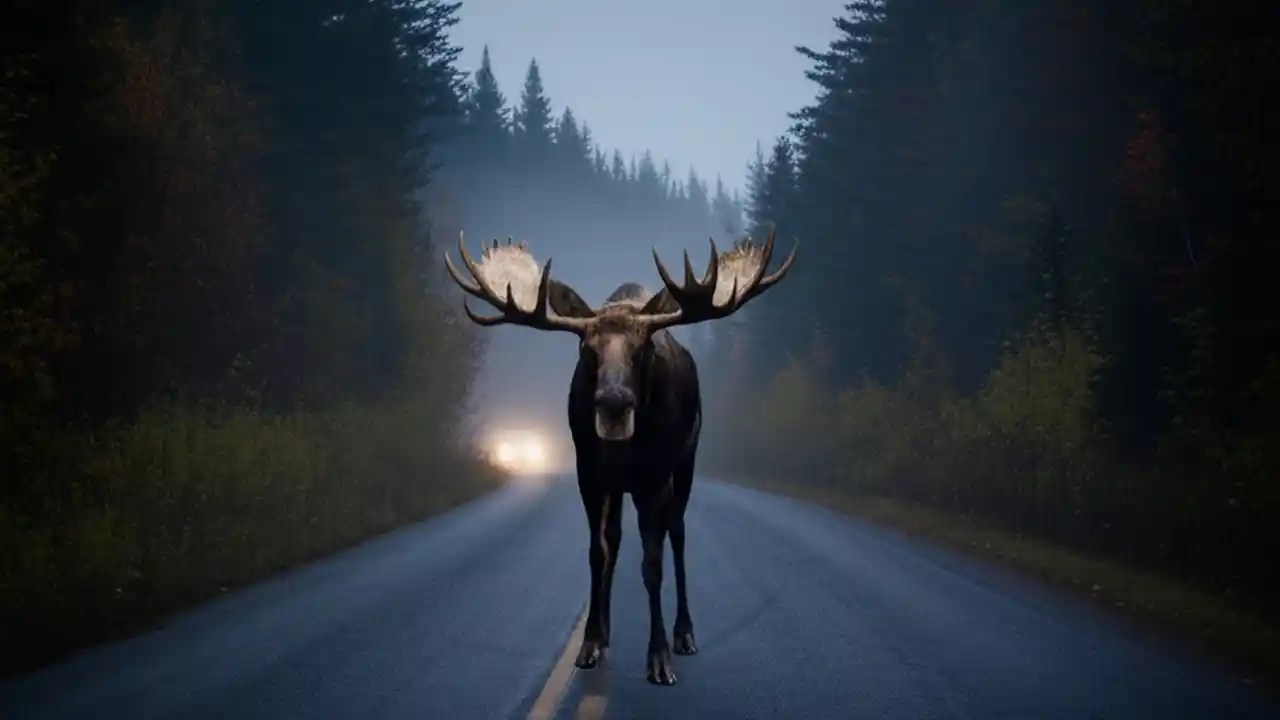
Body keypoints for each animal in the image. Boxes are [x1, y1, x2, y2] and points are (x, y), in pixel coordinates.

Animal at [443, 230, 796, 685]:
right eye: (586, 348)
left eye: (642, 348)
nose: (613, 402)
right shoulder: (589, 476)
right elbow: (598, 553)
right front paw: (591, 641)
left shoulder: (654, 478)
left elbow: (652, 563)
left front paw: (658, 656)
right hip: (618, 487)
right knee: (616, 538)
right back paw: (607, 629)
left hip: (686, 462)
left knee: (678, 534)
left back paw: (685, 632)